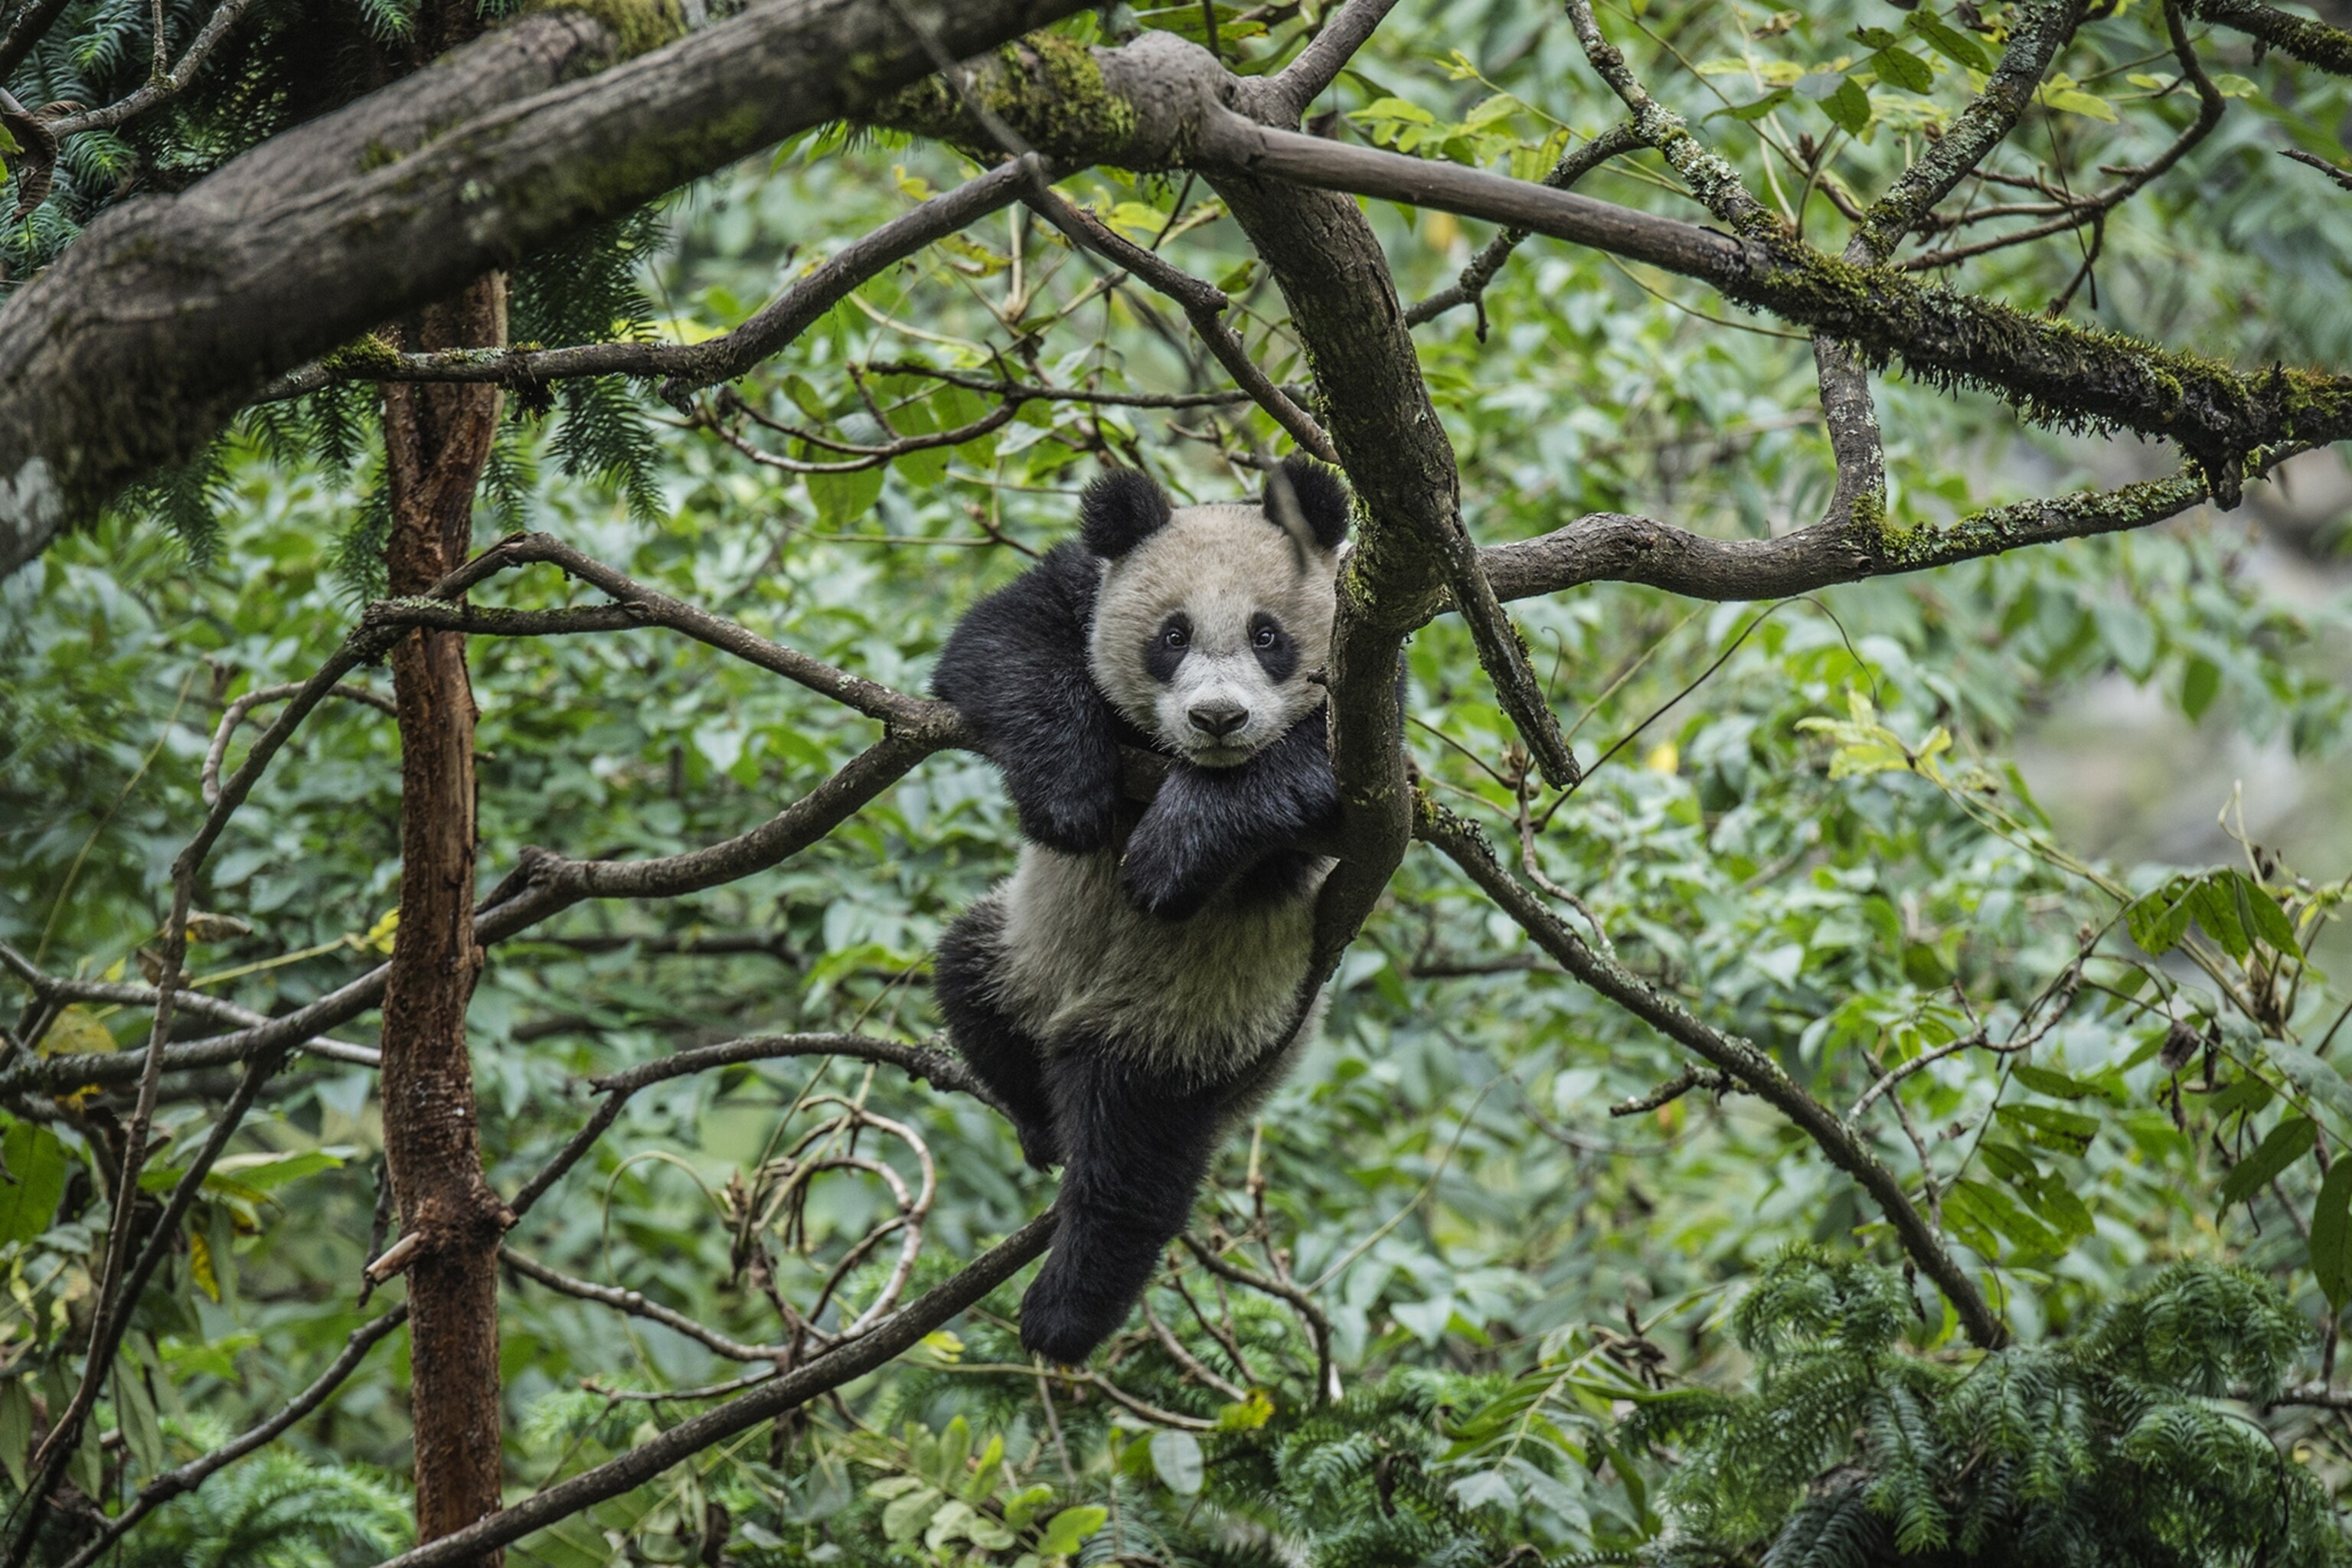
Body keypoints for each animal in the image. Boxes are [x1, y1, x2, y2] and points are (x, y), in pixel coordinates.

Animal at [932, 455, 1351, 1364]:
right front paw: (1069, 796)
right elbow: (997, 643)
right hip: (1022, 946)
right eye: (1172, 636)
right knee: (968, 977)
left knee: (1132, 1157)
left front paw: (1171, 854)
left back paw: (1064, 1310)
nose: (1218, 718)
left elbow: (1310, 773)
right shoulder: (1079, 591)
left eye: (1269, 637)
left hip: (1187, 1017)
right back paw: (1039, 1122)